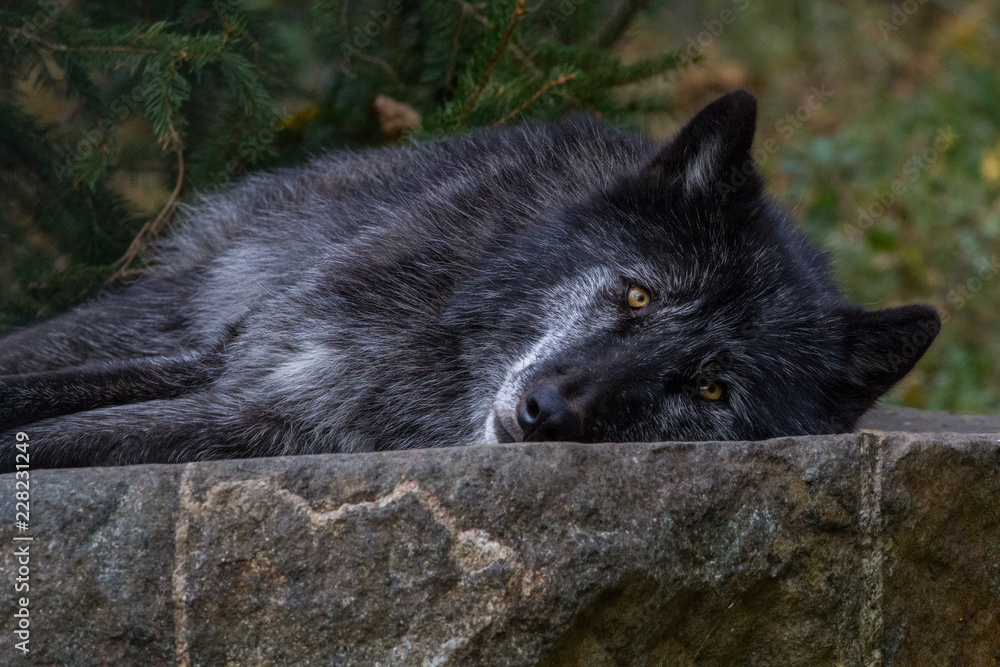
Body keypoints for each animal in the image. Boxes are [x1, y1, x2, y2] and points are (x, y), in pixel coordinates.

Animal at [0, 90, 940, 470]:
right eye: (639, 294)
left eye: (711, 390)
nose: (543, 411)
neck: (438, 352)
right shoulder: (234, 363)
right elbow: (34, 396)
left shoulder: (265, 417)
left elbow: (66, 434)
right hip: (177, 311)